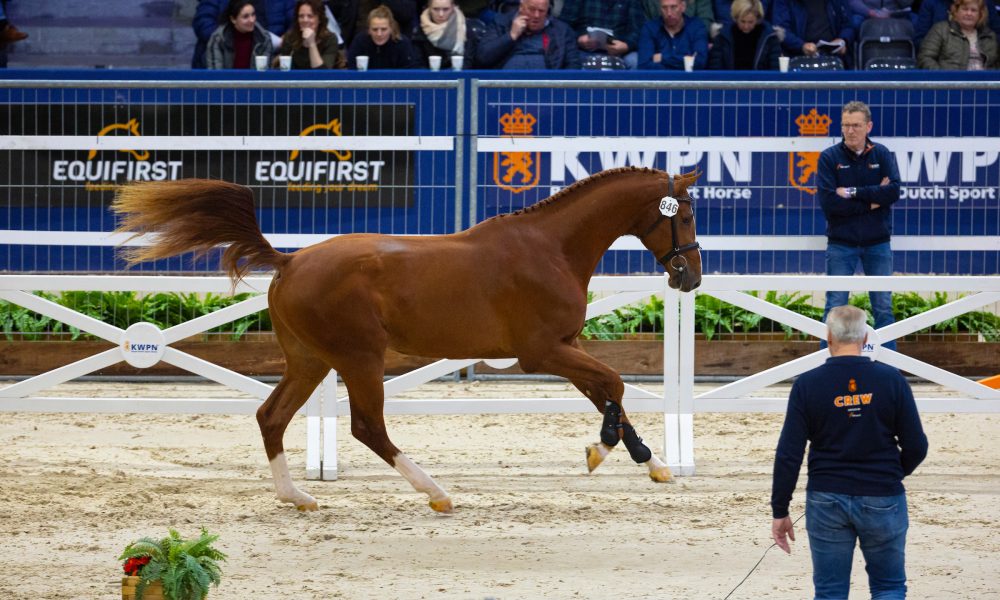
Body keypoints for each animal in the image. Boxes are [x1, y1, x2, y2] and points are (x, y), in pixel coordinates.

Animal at [111, 166, 703, 513]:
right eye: (688, 213)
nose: (689, 277)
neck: (549, 247)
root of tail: (290, 260)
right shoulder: (542, 351)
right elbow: (614, 384)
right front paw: (601, 451)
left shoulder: (567, 345)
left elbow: (607, 393)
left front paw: (650, 461)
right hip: (359, 358)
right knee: (367, 426)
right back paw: (436, 493)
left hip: (309, 360)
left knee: (271, 416)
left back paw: (297, 496)